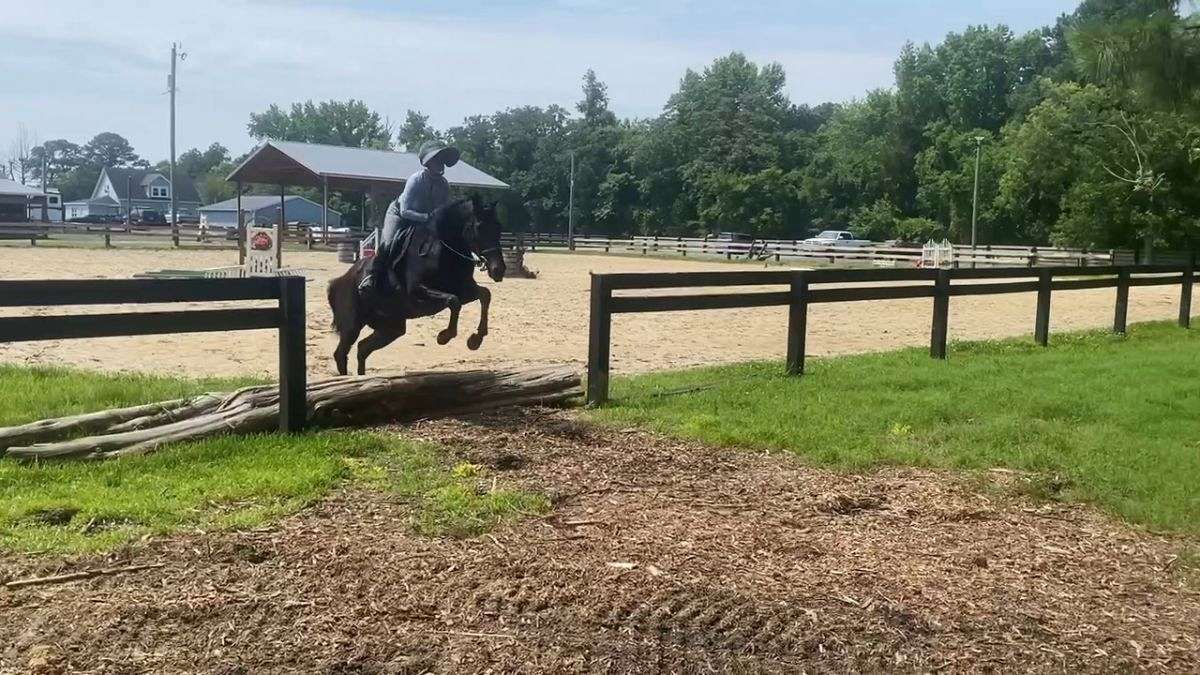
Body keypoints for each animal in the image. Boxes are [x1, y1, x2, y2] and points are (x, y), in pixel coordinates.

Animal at [326, 197, 506, 376]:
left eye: (499, 227)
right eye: (479, 227)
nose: (499, 270)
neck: (445, 250)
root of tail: (339, 281)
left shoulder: (465, 291)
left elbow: (484, 295)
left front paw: (476, 339)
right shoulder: (418, 290)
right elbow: (453, 301)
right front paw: (445, 336)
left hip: (391, 327)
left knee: (362, 348)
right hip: (352, 325)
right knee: (341, 353)